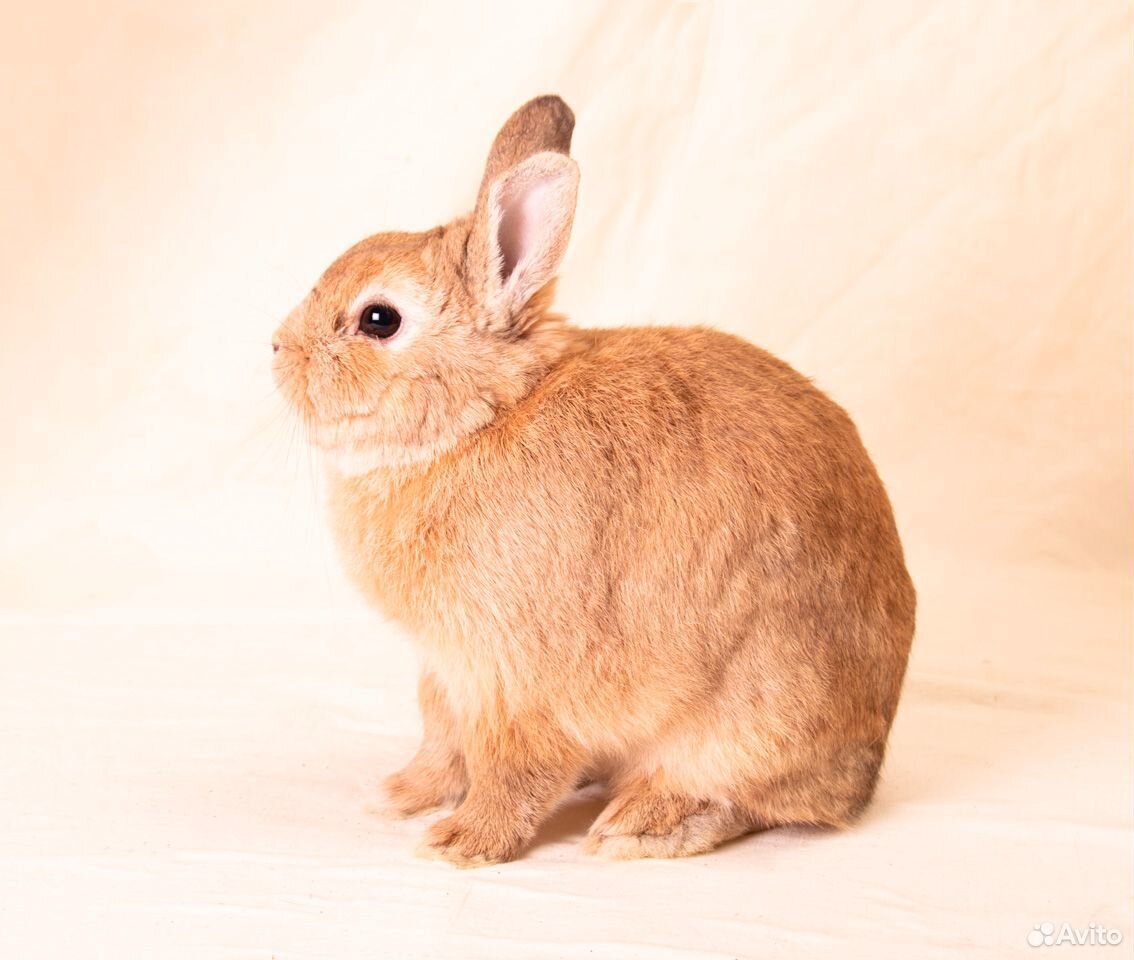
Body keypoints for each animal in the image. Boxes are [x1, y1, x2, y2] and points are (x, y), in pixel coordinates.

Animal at [271, 95, 916, 867]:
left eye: (378, 319)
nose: (276, 350)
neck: (484, 419)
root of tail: (863, 767)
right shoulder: (448, 672)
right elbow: (443, 743)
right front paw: (400, 795)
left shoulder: (515, 677)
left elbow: (512, 768)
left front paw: (462, 842)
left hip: (753, 718)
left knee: (742, 795)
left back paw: (639, 823)